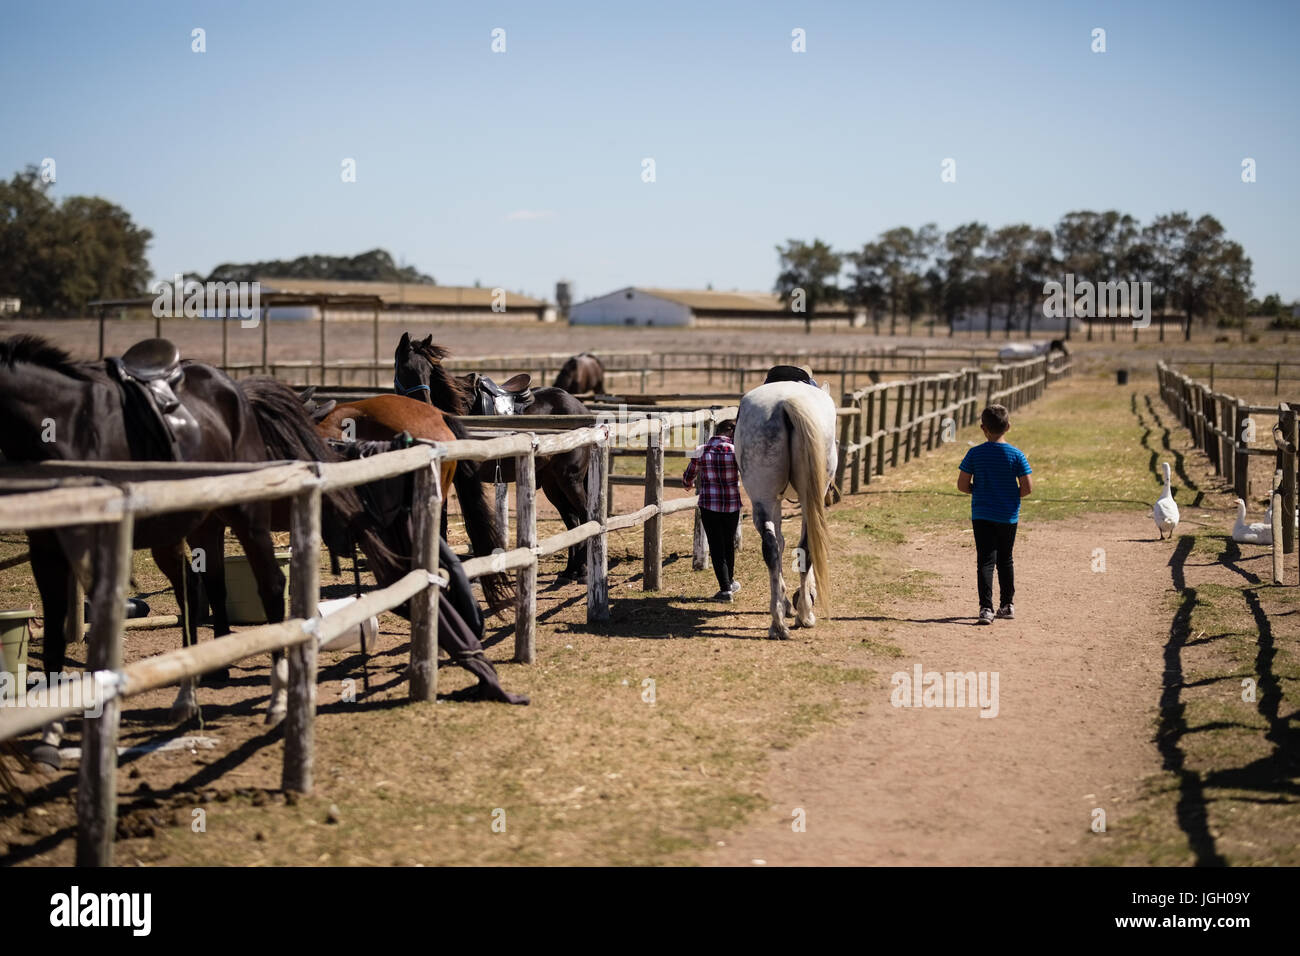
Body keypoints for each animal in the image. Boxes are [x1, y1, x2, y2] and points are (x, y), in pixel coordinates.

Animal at [0, 335, 292, 763]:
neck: (64, 425)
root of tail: (234, 390)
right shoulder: (46, 551)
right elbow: (53, 636)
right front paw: (50, 738)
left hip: (247, 518)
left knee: (270, 586)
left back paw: (279, 701)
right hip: (193, 528)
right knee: (196, 590)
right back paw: (190, 693)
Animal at [394, 333, 592, 581]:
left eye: (429, 371)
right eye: (405, 368)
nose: (425, 407)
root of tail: (581, 408)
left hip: (570, 479)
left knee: (585, 515)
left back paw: (583, 570)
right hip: (552, 484)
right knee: (572, 520)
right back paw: (570, 570)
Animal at [734, 372, 838, 640]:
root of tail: (786, 402)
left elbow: (780, 544)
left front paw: (787, 602)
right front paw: (801, 598)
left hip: (763, 497)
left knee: (772, 548)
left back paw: (778, 623)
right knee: (805, 547)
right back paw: (805, 615)